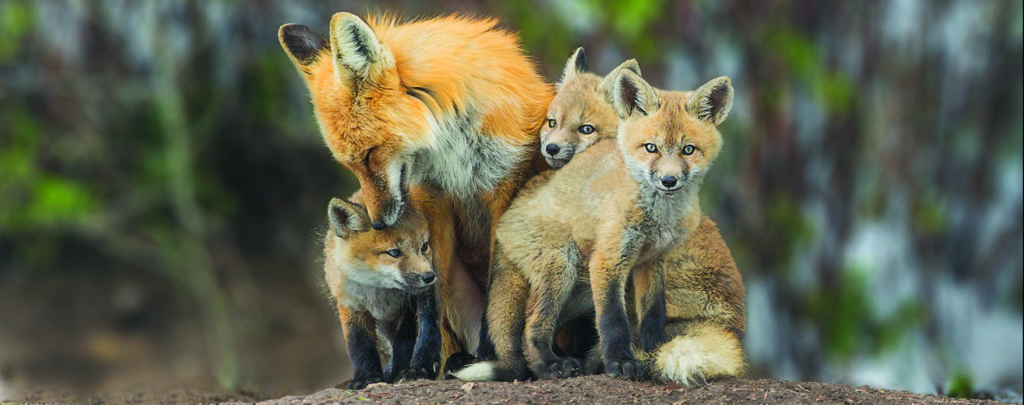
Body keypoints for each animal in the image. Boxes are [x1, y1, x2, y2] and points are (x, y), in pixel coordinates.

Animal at [279, 14, 553, 365]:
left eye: (368, 155)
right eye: (351, 165)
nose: (378, 223)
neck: (453, 147)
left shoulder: (504, 190)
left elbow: (499, 286)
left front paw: (492, 352)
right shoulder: (432, 200)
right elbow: (428, 296)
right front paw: (422, 360)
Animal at [323, 190, 442, 389]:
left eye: (424, 246)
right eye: (394, 252)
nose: (429, 276)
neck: (379, 293)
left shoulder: (407, 307)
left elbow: (404, 342)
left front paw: (398, 372)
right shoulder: (350, 304)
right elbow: (359, 344)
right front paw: (366, 377)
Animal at [454, 70, 736, 382]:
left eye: (688, 150)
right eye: (651, 148)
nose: (669, 181)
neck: (656, 216)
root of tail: (505, 221)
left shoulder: (651, 261)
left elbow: (653, 313)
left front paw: (656, 349)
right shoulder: (608, 259)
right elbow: (613, 320)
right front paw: (620, 363)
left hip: (579, 290)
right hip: (561, 267)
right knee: (532, 327)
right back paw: (549, 365)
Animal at [534, 48, 747, 385]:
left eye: (586, 129)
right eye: (551, 122)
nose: (551, 148)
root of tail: (731, 330)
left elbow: (616, 318)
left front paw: (622, 360)